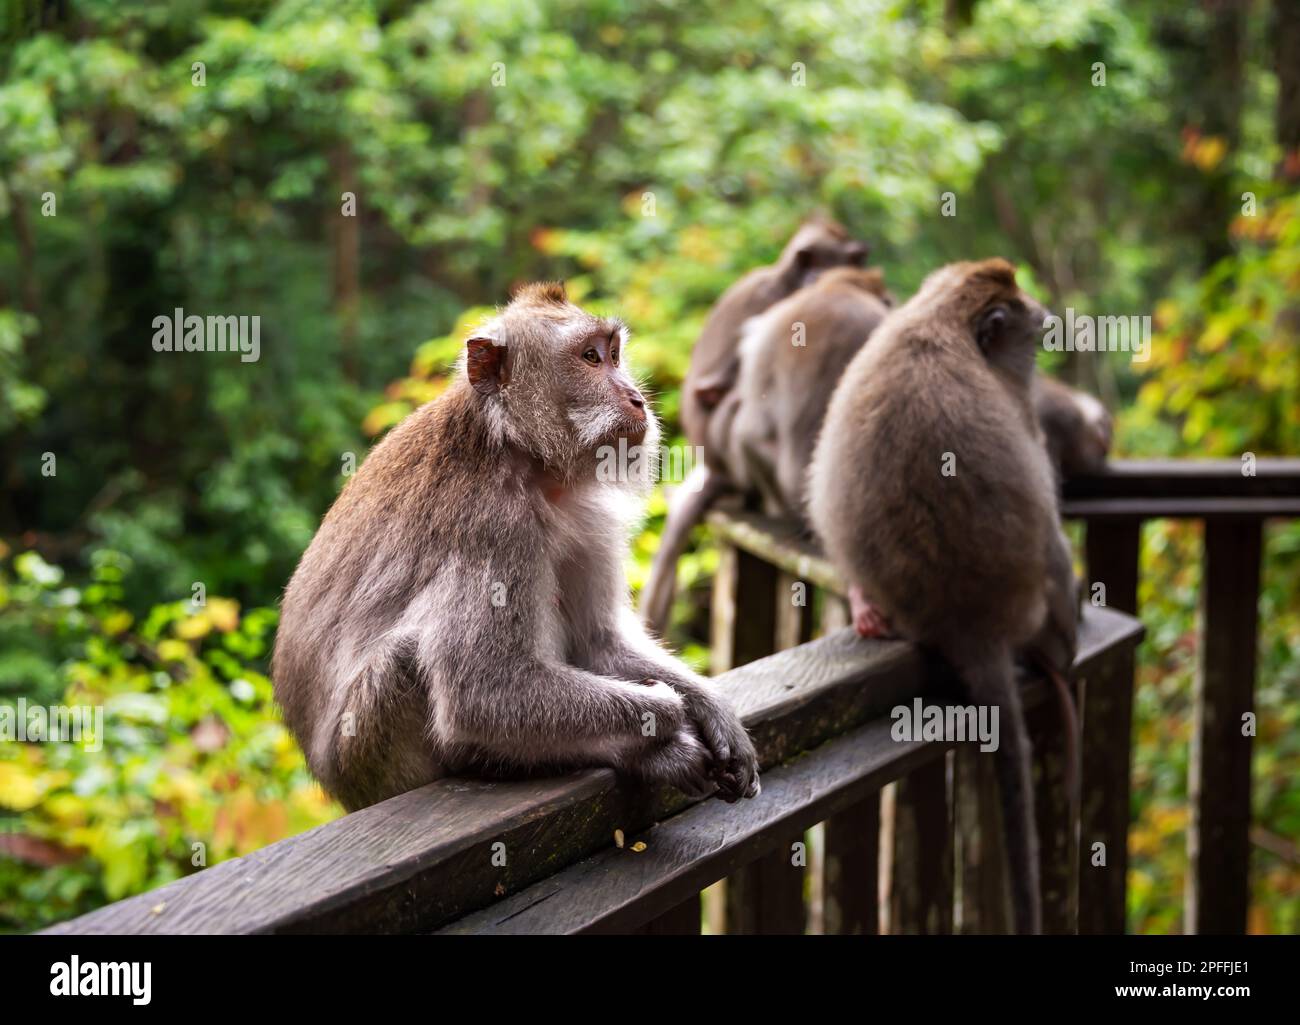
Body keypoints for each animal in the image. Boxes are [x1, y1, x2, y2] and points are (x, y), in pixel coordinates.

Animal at [273, 282, 761, 812]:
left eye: (614, 354)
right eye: (590, 358)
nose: (636, 399)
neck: (518, 452)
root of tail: (340, 787)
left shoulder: (586, 518)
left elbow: (597, 644)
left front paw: (711, 708)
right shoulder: (491, 525)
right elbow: (484, 694)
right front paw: (664, 711)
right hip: (368, 756)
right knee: (405, 657)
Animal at [807, 258, 1079, 934]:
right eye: (1029, 326)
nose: (1046, 319)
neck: (940, 320)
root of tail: (972, 626)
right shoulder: (1019, 405)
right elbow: (1053, 531)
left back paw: (868, 607)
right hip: (1030, 609)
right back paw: (1059, 648)